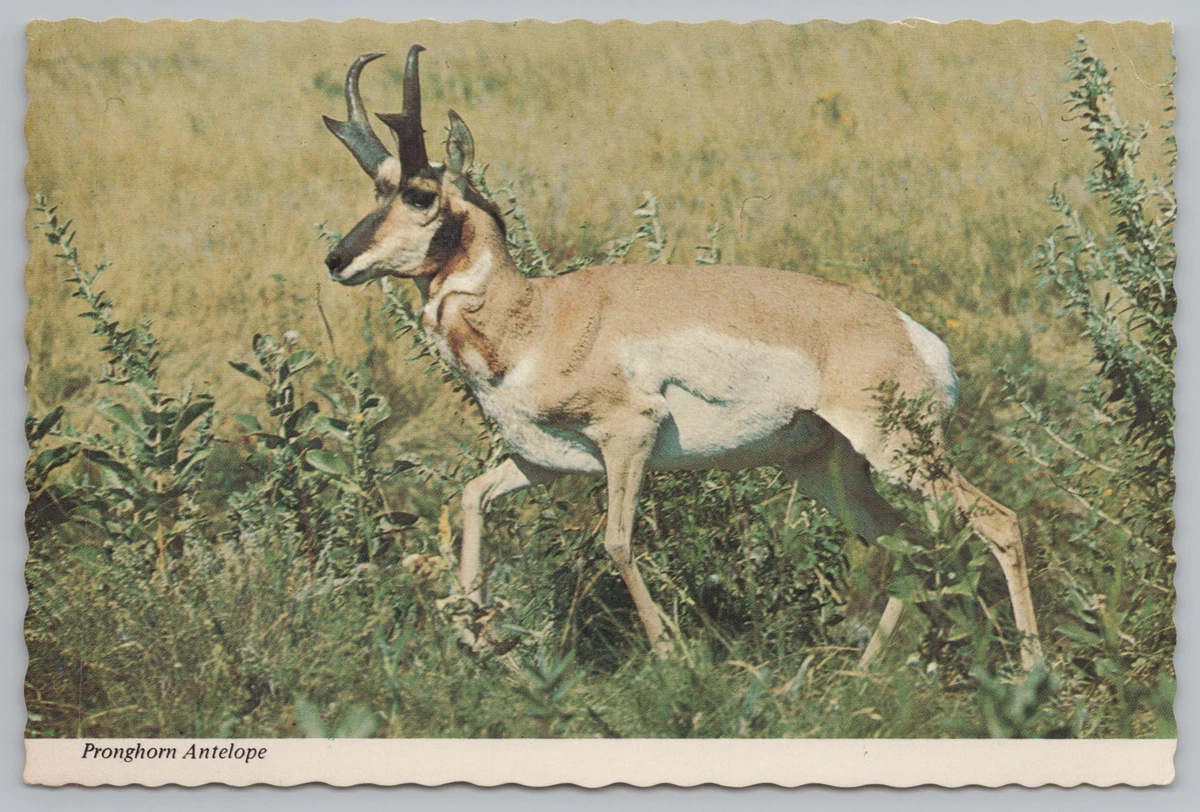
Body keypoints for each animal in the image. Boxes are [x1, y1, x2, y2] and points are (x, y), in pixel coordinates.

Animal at [321, 45, 1043, 670]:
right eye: (377, 186)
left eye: (419, 193)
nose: (337, 259)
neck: (540, 317)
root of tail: (908, 330)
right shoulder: (542, 461)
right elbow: (470, 496)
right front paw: (476, 633)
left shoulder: (628, 436)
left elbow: (616, 541)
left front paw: (671, 653)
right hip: (828, 472)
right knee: (910, 540)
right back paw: (865, 672)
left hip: (901, 453)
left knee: (1000, 522)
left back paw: (1032, 672)